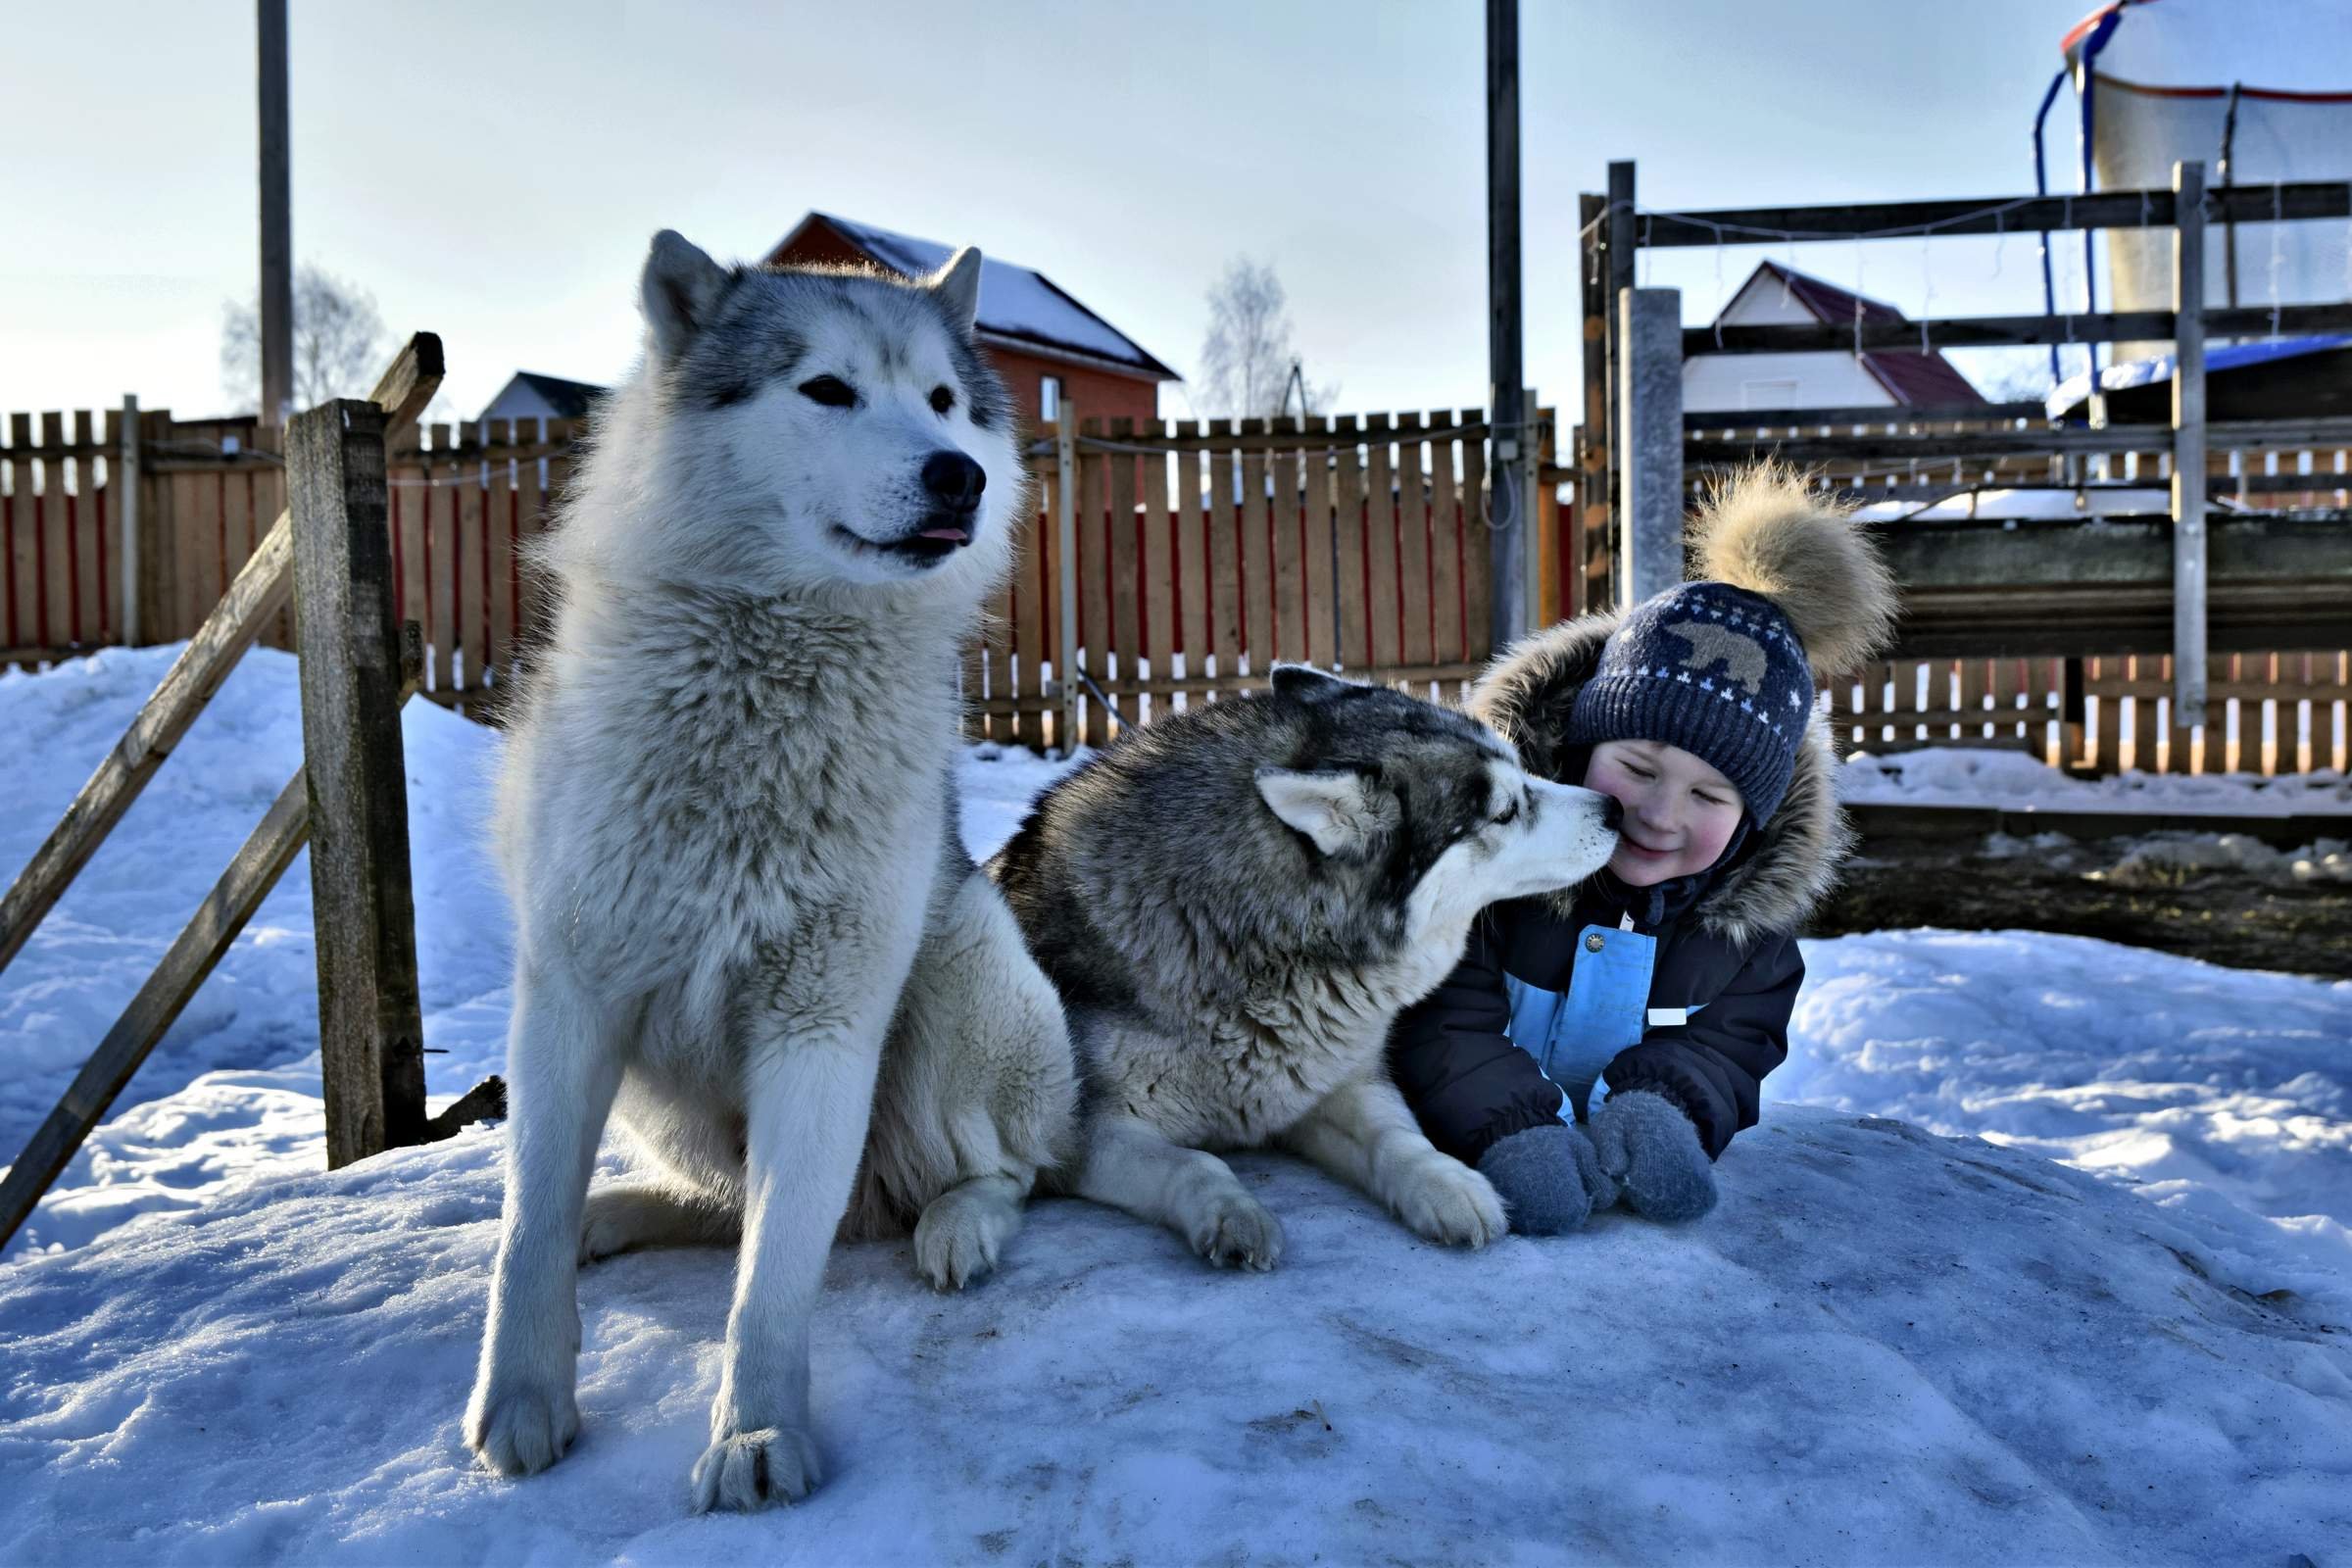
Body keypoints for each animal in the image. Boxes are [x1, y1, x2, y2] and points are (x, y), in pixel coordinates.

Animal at [463, 230, 1072, 1504]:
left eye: (943, 402)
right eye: (827, 390)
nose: (958, 475)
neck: (771, 669)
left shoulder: (822, 1026)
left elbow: (776, 1272)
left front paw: (753, 1431)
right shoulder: (569, 1000)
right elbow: (527, 1223)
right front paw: (525, 1398)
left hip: (964, 965)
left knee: (999, 1173)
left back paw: (959, 1224)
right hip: (659, 1096)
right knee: (719, 1202)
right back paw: (615, 1213)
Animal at [988, 676, 1618, 1278]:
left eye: (1523, 773)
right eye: (1506, 811)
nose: (1612, 806)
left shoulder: (1331, 1088)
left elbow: (1397, 1138)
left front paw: (1447, 1183)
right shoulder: (1081, 1138)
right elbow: (1196, 1162)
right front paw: (1233, 1213)